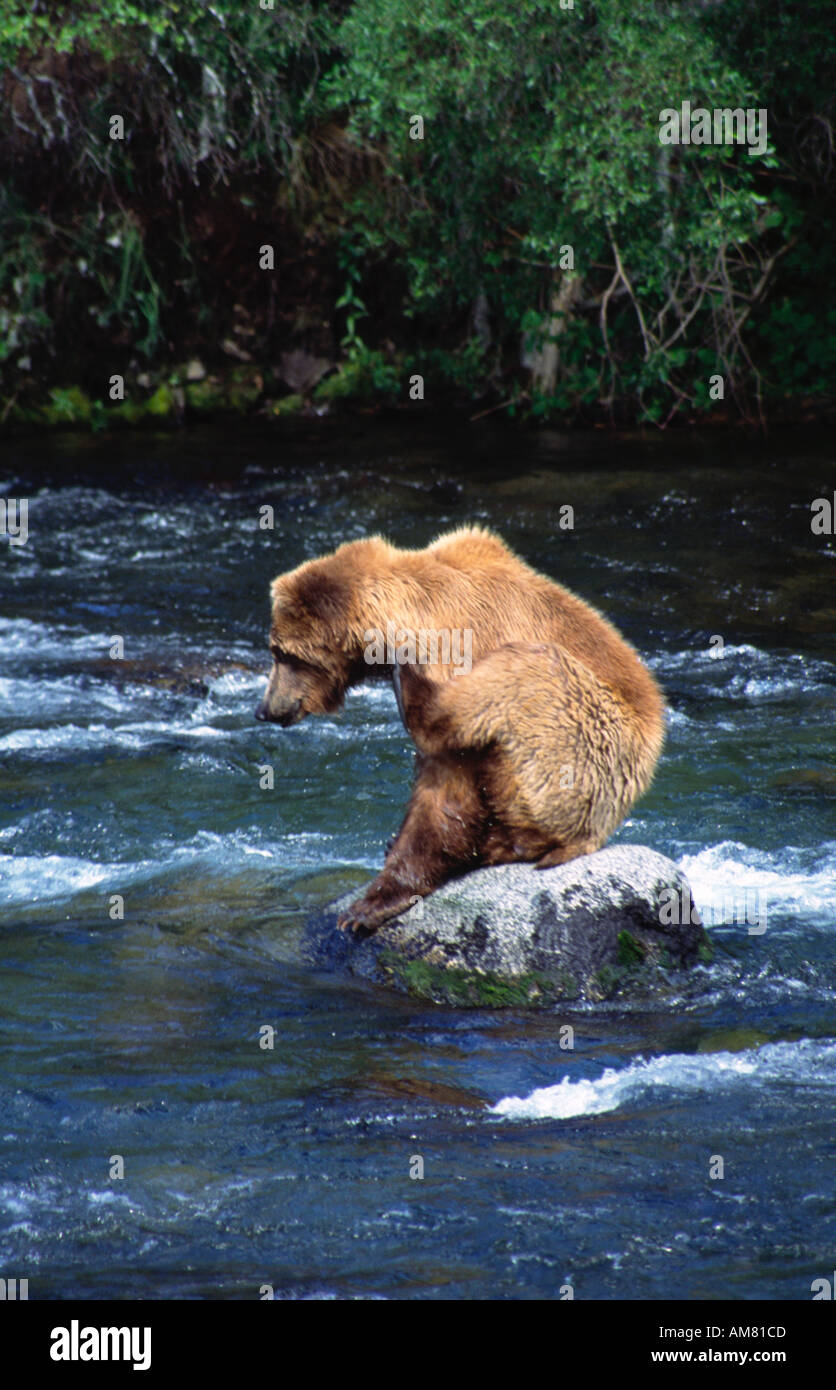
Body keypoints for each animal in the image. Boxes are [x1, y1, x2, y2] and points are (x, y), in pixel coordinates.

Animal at [255, 525, 666, 936]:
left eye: (284, 653)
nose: (265, 709)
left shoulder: (453, 655)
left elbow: (447, 788)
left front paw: (369, 905)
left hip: (594, 743)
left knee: (528, 674)